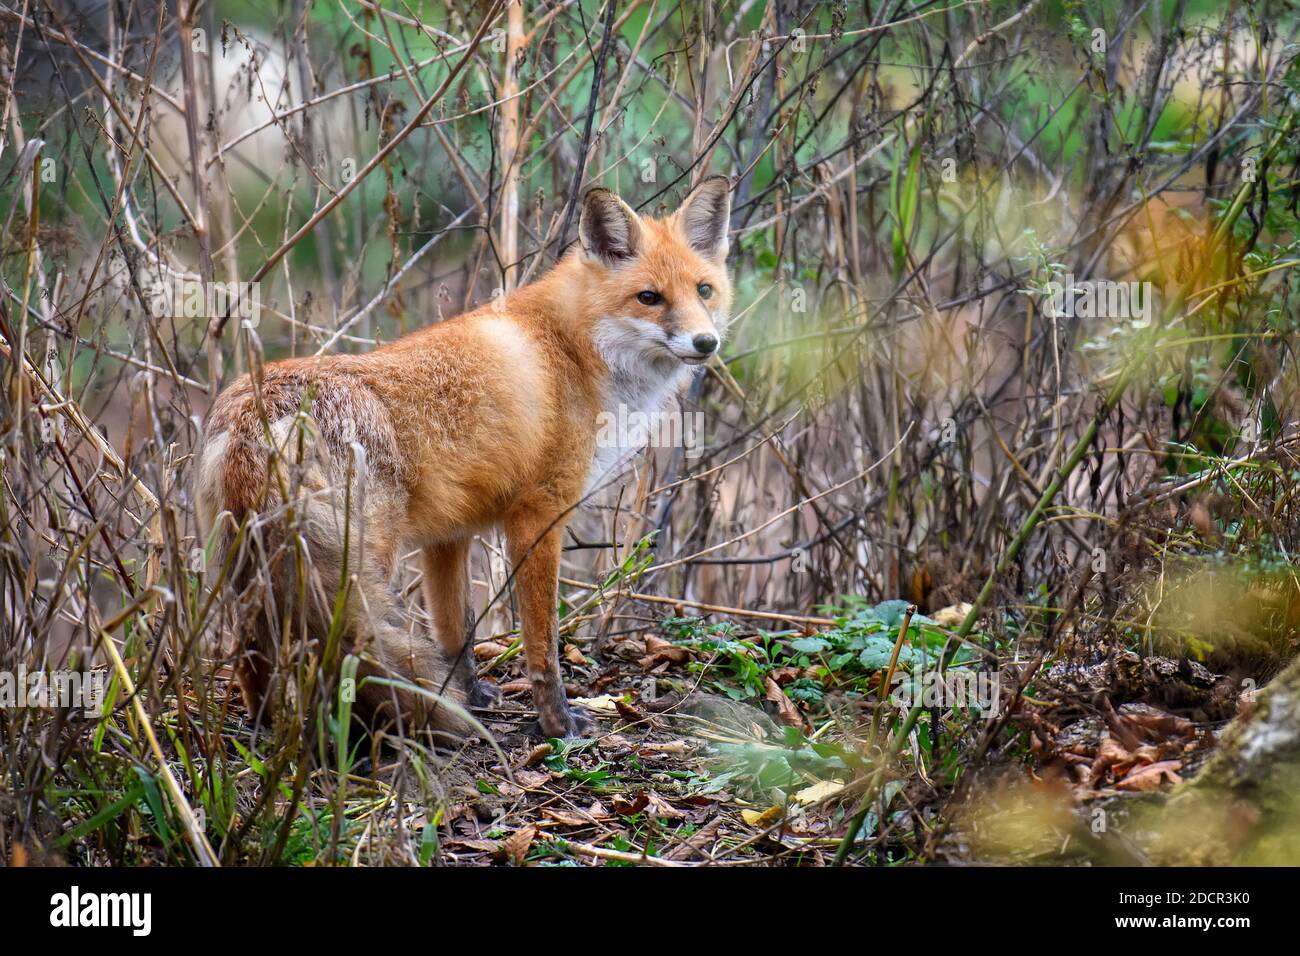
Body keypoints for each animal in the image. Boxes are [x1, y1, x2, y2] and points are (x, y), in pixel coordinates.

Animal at [193, 176, 733, 739]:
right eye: (649, 298)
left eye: (704, 290)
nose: (706, 342)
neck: (575, 347)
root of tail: (258, 411)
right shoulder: (538, 515)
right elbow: (543, 644)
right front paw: (556, 722)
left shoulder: (449, 534)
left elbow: (458, 633)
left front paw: (470, 697)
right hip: (365, 558)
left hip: (246, 565)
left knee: (249, 653)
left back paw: (264, 725)